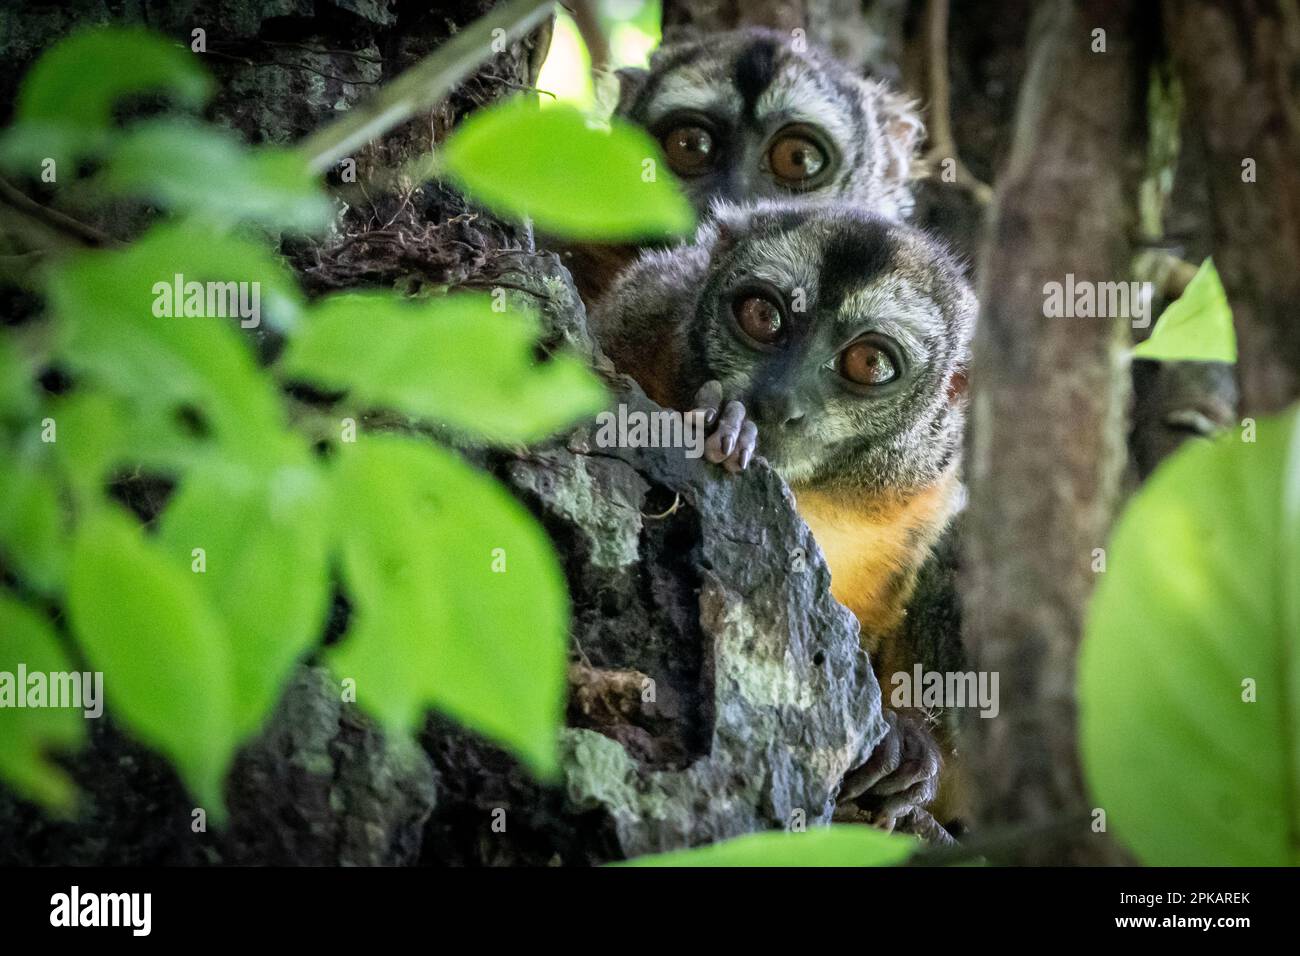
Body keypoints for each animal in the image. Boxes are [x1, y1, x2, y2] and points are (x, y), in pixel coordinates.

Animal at [590, 199, 975, 831]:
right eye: (762, 316)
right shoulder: (641, 312)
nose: (778, 401)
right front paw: (725, 421)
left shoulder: (925, 488)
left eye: (869, 362)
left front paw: (907, 752)